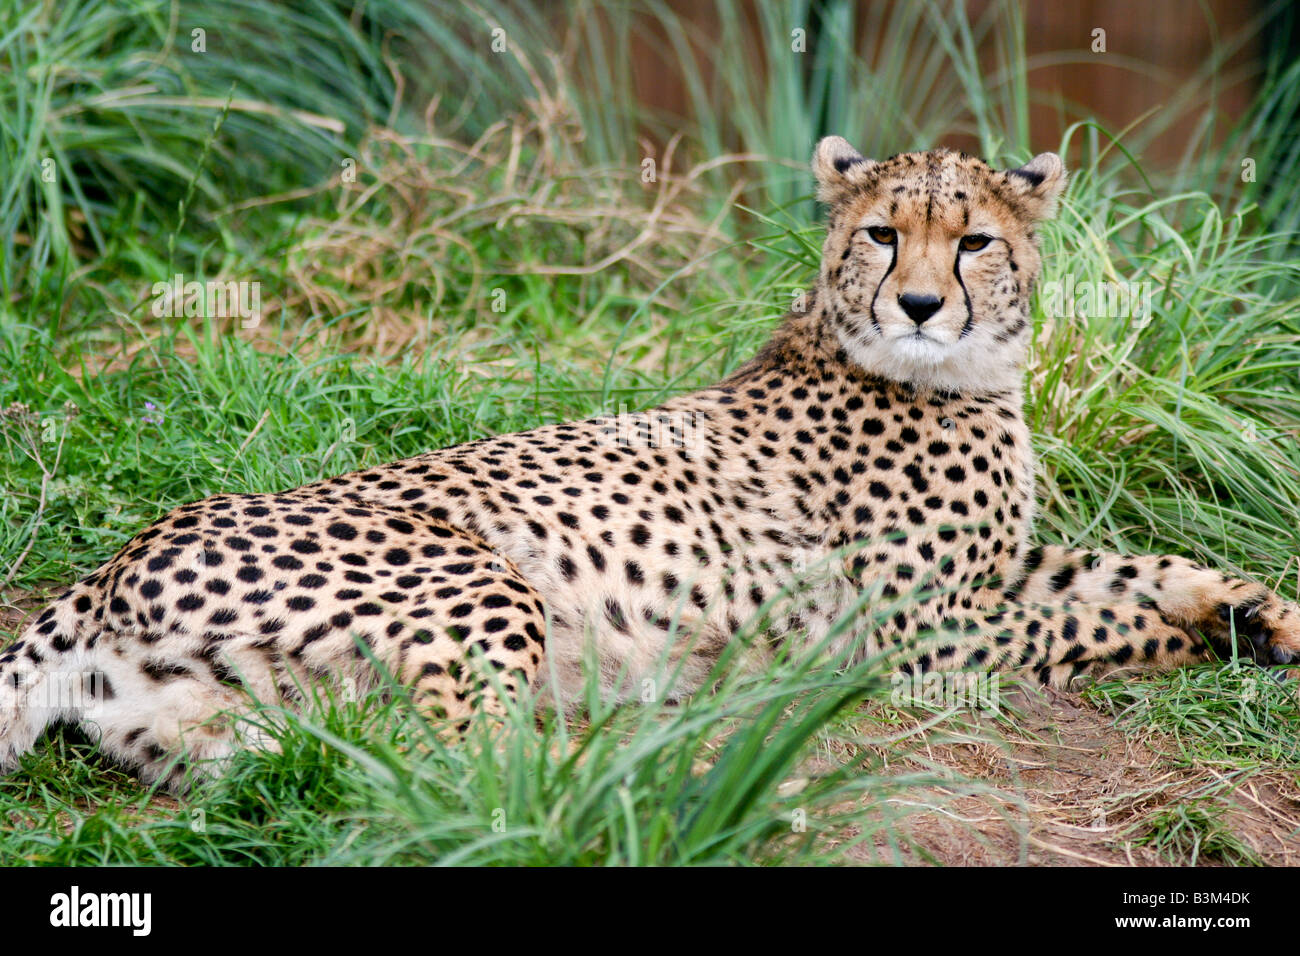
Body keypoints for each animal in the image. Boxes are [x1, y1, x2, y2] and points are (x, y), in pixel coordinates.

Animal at [3, 135, 1297, 792]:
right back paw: (641, 748)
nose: (923, 304)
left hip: (233, 727)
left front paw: (1257, 610)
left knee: (363, 767)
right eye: (883, 234)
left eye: (974, 239)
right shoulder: (920, 632)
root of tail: (113, 561)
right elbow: (1092, 621)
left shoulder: (991, 577)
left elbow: (1122, 566)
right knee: (465, 761)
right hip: (482, 581)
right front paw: (1215, 632)